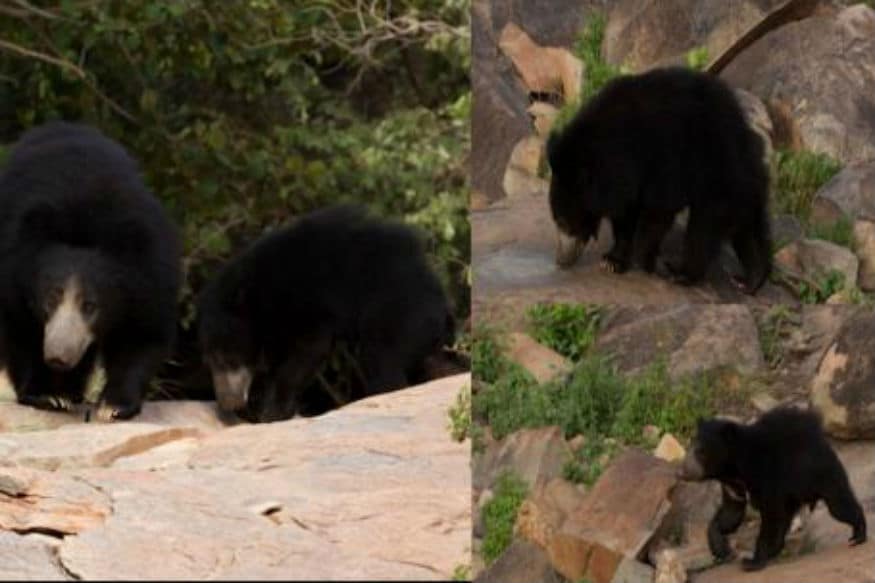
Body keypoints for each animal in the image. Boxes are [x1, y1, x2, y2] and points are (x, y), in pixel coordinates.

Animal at [0, 122, 181, 421]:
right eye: (51, 297)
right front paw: (47, 395)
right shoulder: (13, 264)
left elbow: (141, 334)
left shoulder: (150, 274)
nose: (58, 357)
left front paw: (113, 406)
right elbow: (18, 326)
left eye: (90, 305)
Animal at [196, 204, 455, 423]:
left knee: (383, 359)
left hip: (397, 312)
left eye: (227, 358)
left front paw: (272, 413)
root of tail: (442, 300)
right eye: (209, 360)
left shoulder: (308, 305)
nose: (228, 404)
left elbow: (307, 351)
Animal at [547, 67, 772, 293]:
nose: (561, 260)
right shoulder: (627, 180)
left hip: (719, 173)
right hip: (743, 180)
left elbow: (659, 211)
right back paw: (750, 279)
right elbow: (625, 215)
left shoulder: (664, 157)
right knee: (748, 230)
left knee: (704, 228)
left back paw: (682, 273)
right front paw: (612, 261)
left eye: (565, 223)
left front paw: (648, 261)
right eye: (557, 220)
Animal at [678, 407, 867, 571]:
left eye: (701, 451)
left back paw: (858, 535)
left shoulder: (768, 476)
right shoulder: (732, 485)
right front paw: (722, 549)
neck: (736, 467)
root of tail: (820, 436)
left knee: (839, 504)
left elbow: (771, 515)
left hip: (820, 472)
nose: (681, 472)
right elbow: (731, 512)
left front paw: (752, 561)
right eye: (691, 446)